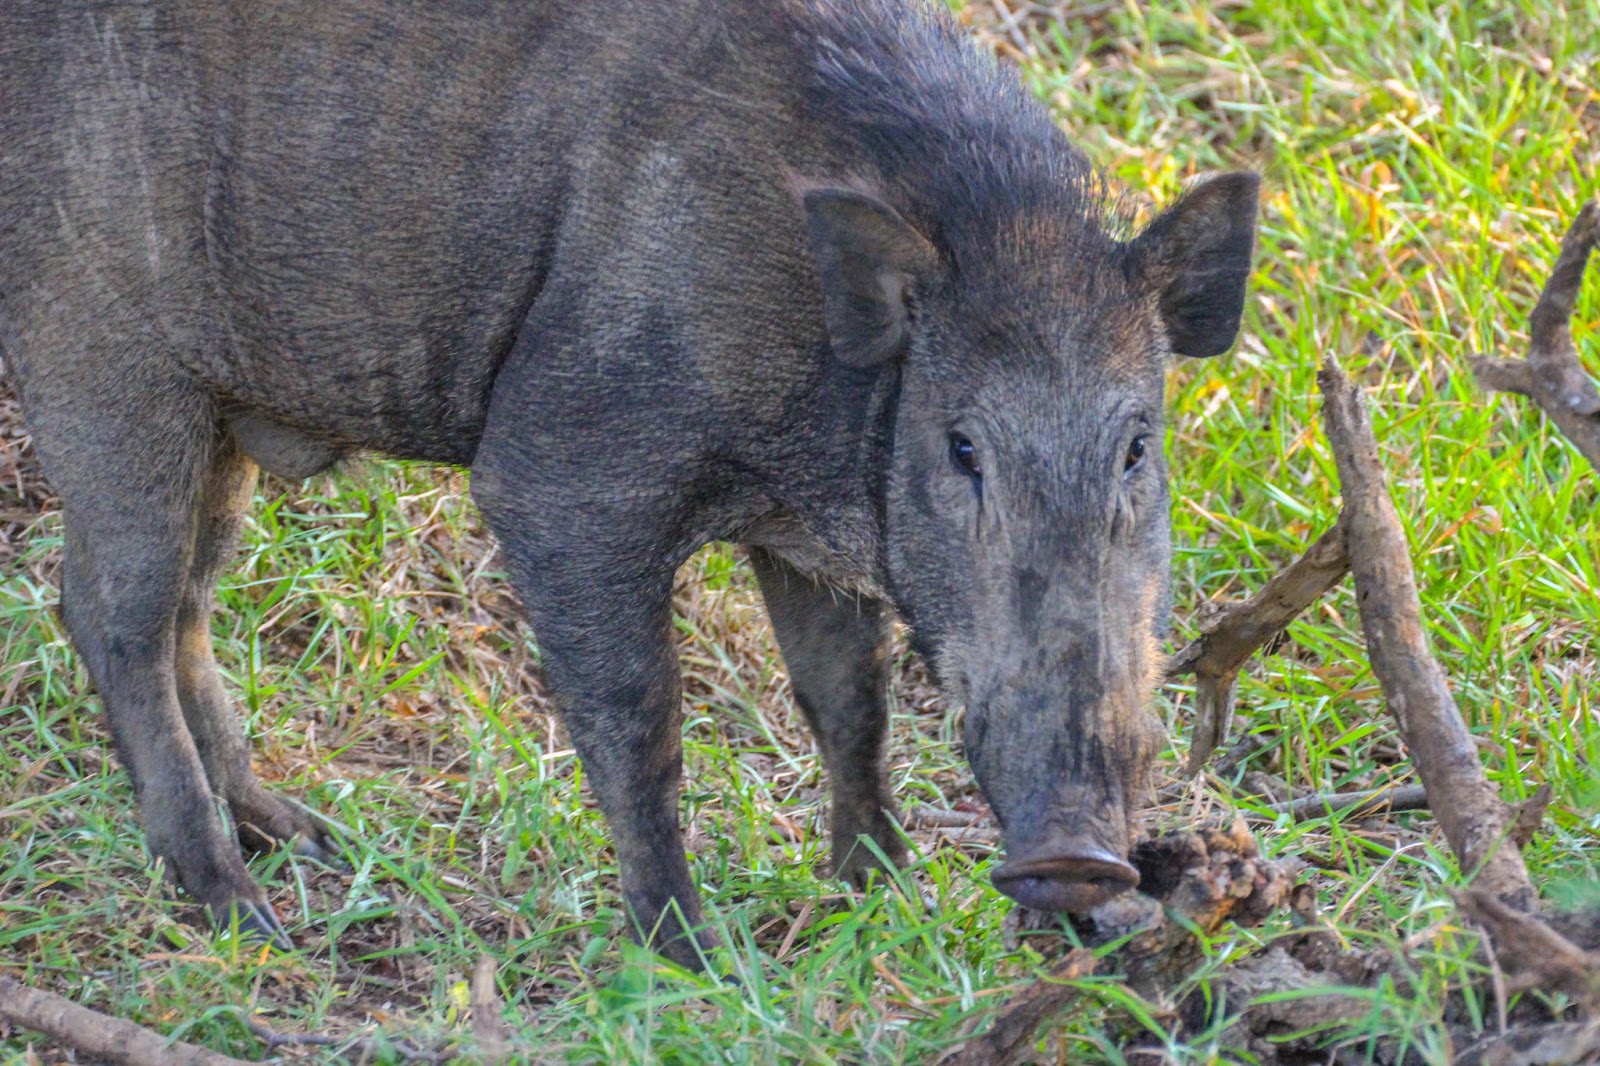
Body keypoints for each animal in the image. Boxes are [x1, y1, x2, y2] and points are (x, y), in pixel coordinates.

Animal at [0, 0, 1257, 969]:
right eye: (960, 448)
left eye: (1136, 446)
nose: (1081, 858)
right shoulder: (562, 471)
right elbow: (637, 716)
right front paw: (692, 958)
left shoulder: (800, 532)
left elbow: (847, 701)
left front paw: (876, 890)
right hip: (100, 364)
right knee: (109, 611)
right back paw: (239, 908)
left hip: (214, 420)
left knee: (188, 605)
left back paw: (302, 837)